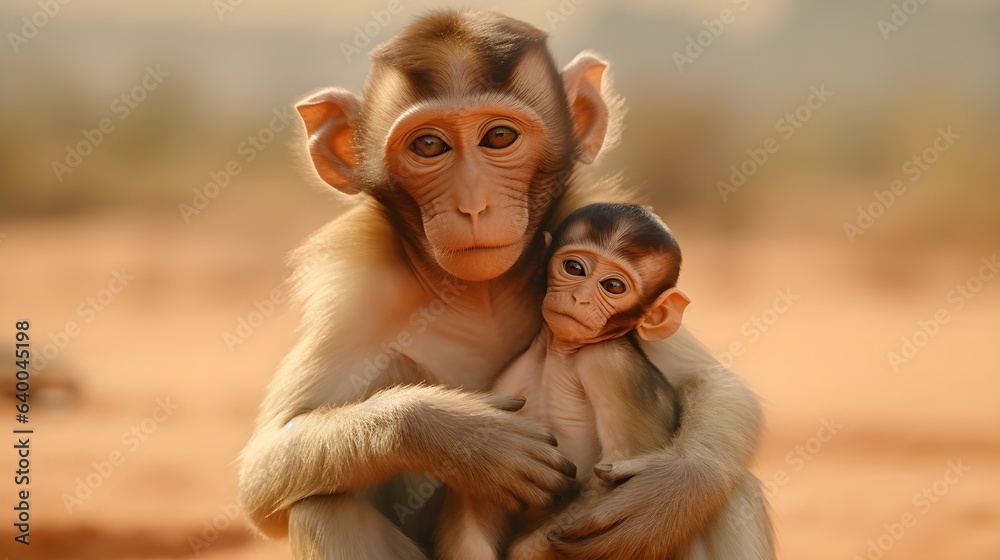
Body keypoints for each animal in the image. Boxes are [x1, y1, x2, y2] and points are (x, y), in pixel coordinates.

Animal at [436, 203, 774, 560]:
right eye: (574, 268)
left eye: (613, 286)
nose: (579, 298)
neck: (559, 354)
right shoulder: (511, 373)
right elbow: (483, 492)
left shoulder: (609, 363)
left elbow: (616, 469)